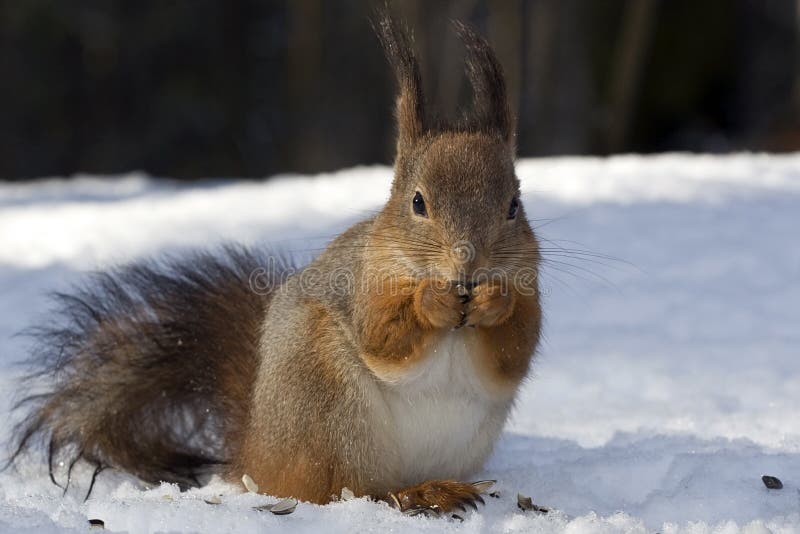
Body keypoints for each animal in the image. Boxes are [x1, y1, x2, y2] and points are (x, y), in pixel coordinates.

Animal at [8, 14, 542, 514]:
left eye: (514, 205)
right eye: (417, 203)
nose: (468, 264)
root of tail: (257, 451)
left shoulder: (530, 287)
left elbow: (514, 352)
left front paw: (496, 301)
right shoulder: (364, 283)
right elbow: (383, 337)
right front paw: (431, 300)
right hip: (327, 402)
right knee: (347, 490)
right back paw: (418, 494)